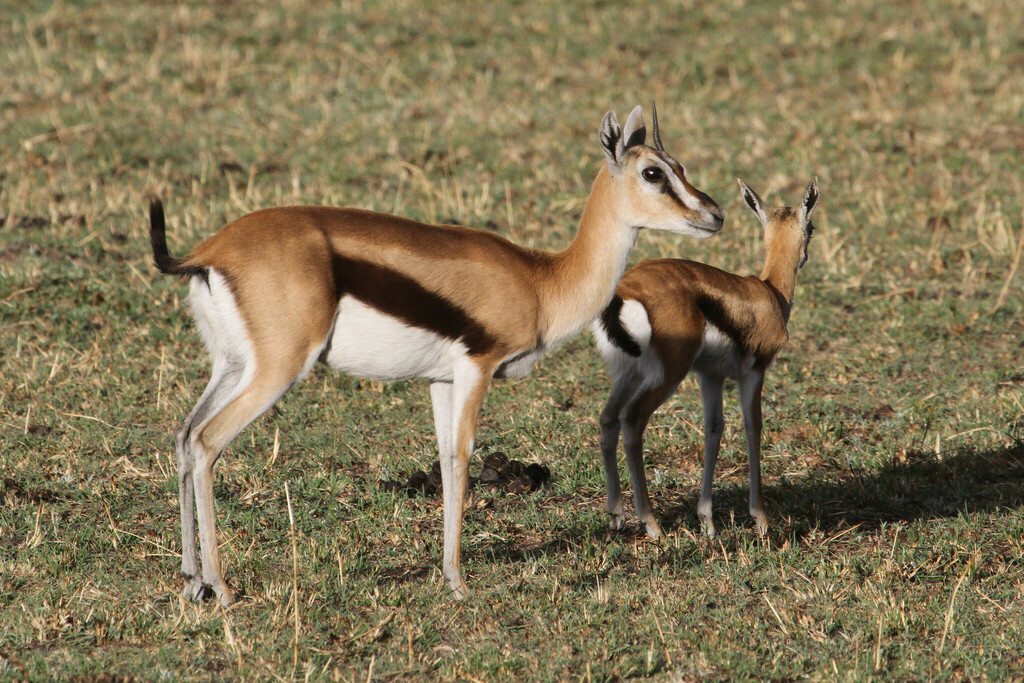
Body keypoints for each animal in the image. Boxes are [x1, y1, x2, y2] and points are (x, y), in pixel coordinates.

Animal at [150, 104, 724, 606]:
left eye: (680, 167)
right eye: (653, 173)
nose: (714, 214)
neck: (541, 281)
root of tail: (209, 253)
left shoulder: (441, 380)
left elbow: (446, 459)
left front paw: (450, 577)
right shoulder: (477, 367)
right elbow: (463, 457)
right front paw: (460, 583)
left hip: (232, 366)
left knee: (183, 435)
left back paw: (190, 582)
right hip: (277, 370)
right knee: (206, 441)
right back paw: (221, 588)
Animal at [593, 178, 818, 539]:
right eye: (811, 226)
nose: (805, 257)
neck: (770, 293)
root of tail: (625, 293)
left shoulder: (710, 375)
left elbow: (714, 428)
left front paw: (707, 521)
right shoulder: (754, 372)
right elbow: (753, 426)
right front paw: (760, 519)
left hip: (629, 374)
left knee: (608, 419)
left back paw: (616, 514)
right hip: (668, 375)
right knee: (633, 420)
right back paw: (651, 524)